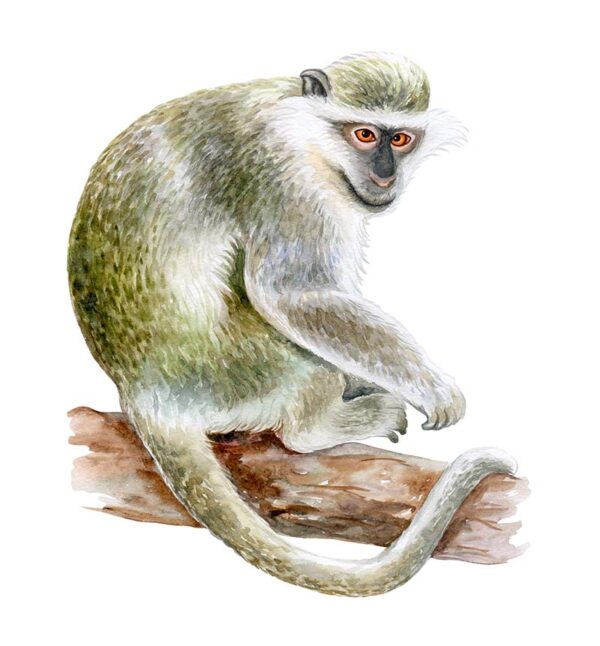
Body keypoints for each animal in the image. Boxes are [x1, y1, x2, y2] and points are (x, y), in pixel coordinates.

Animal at [68, 52, 516, 596]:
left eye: (400, 139)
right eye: (364, 134)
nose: (384, 175)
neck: (303, 128)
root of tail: (145, 394)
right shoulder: (288, 183)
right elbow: (292, 296)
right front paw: (432, 386)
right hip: (240, 372)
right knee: (302, 379)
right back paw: (322, 425)